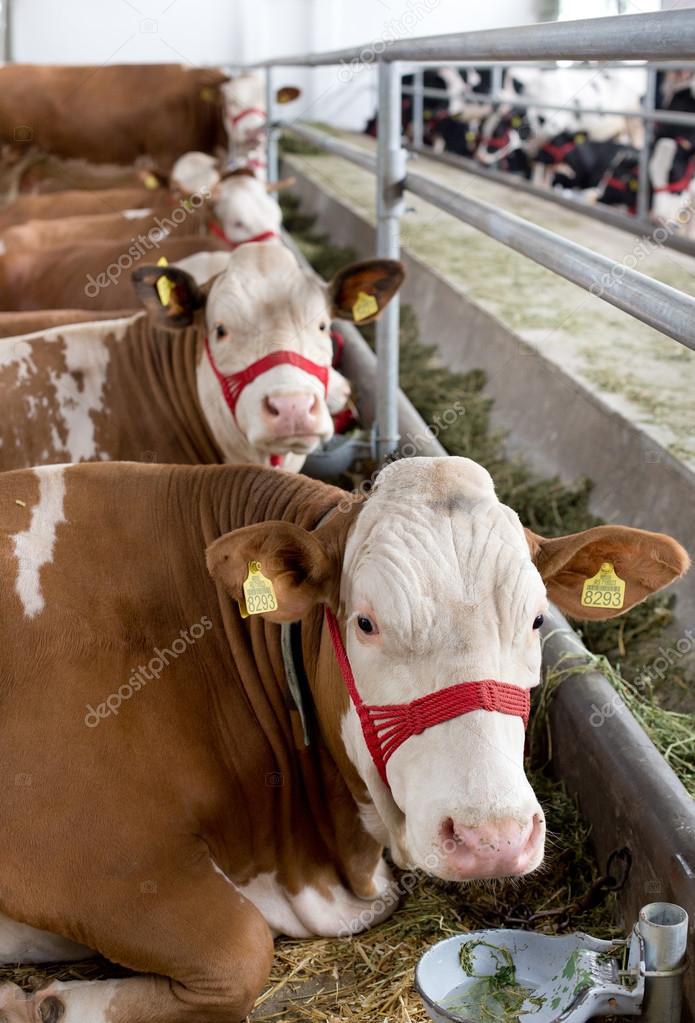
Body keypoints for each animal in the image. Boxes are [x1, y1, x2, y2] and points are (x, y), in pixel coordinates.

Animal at [0, 455, 687, 1023]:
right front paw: (37, 1006)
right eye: (366, 623)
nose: (493, 837)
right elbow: (240, 951)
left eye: (538, 619)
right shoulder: (73, 848)